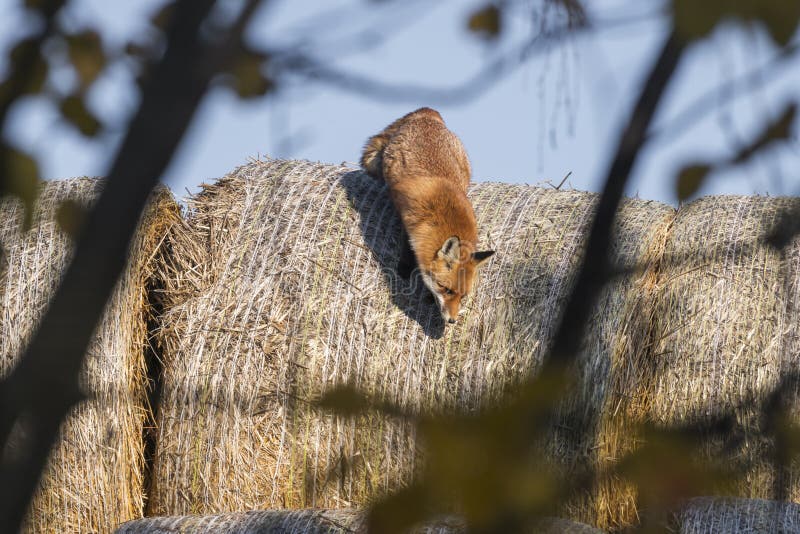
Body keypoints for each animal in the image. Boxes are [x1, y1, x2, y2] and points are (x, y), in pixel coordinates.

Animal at [360, 107, 494, 324]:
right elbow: (406, 244)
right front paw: (404, 268)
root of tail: (429, 113)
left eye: (462, 296)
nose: (452, 321)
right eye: (446, 289)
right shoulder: (405, 212)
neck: (444, 212)